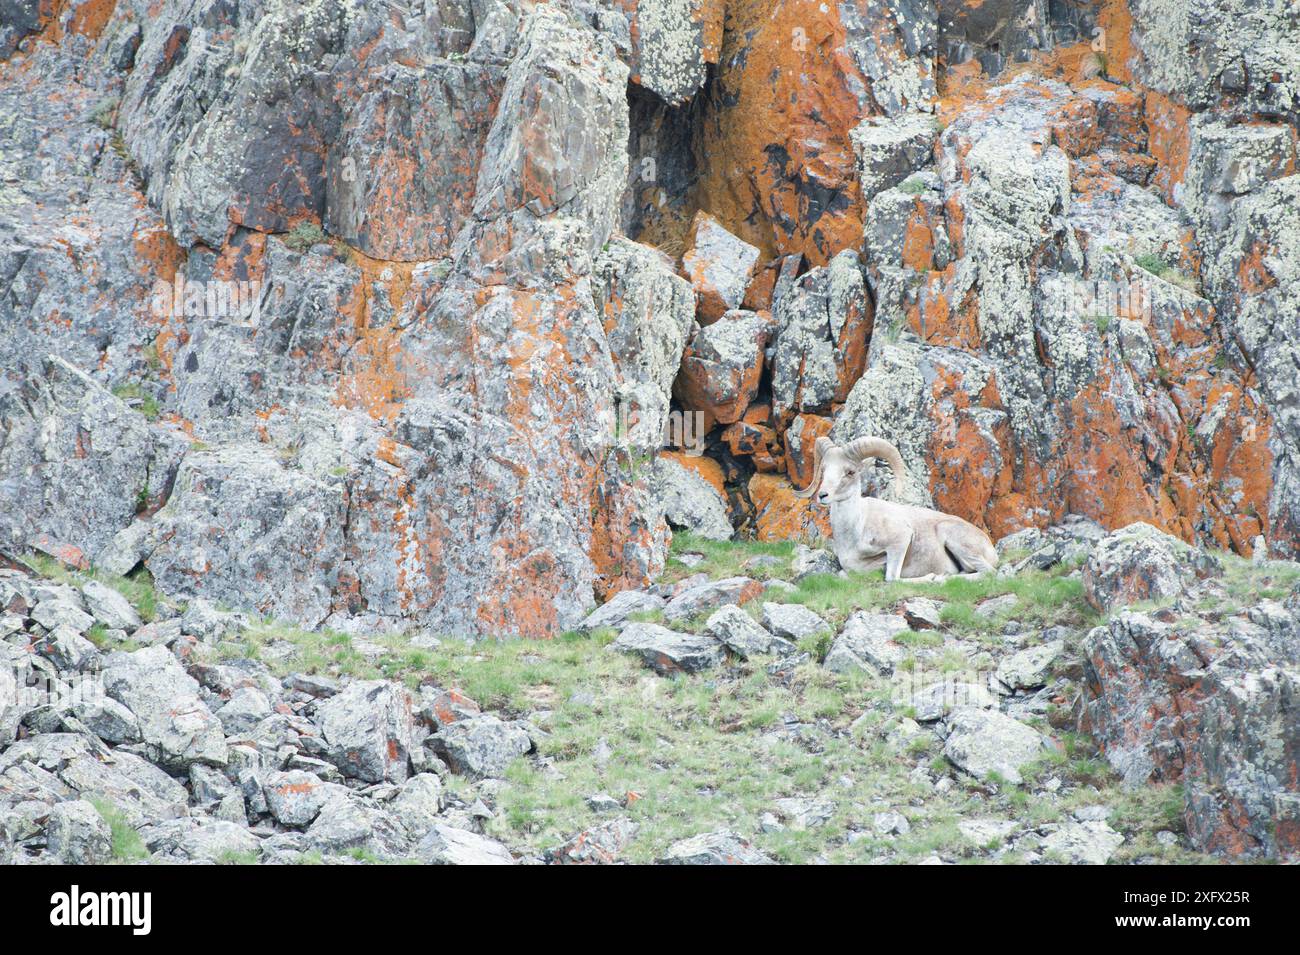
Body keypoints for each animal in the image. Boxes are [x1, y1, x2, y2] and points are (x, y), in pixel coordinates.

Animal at [795, 435, 998, 581]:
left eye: (850, 472)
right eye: (824, 470)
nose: (823, 495)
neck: (855, 531)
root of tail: (988, 545)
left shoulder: (900, 541)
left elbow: (892, 578)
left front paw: (931, 576)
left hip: (954, 538)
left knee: (989, 572)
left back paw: (941, 578)